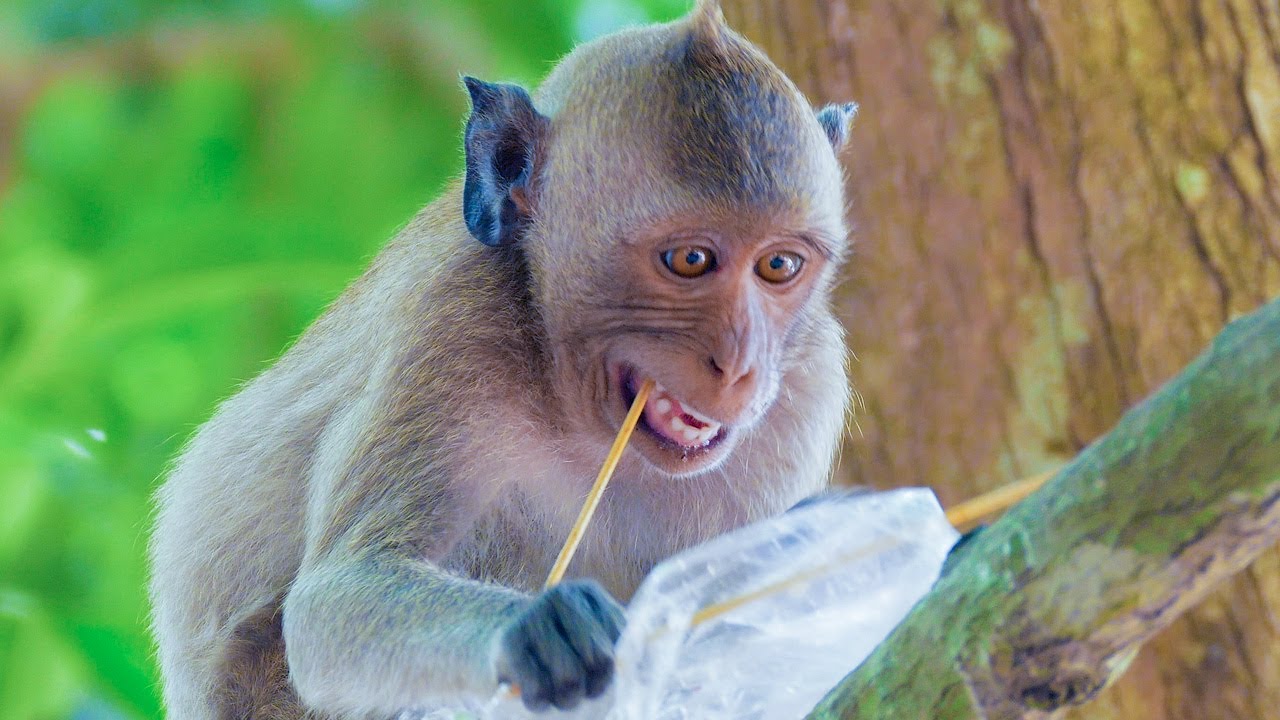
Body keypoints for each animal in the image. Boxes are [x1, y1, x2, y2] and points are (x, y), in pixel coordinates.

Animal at [147, 1, 859, 717]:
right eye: (691, 260)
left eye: (779, 265)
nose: (741, 364)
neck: (580, 417)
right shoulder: (452, 322)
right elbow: (335, 600)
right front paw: (541, 627)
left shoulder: (805, 392)